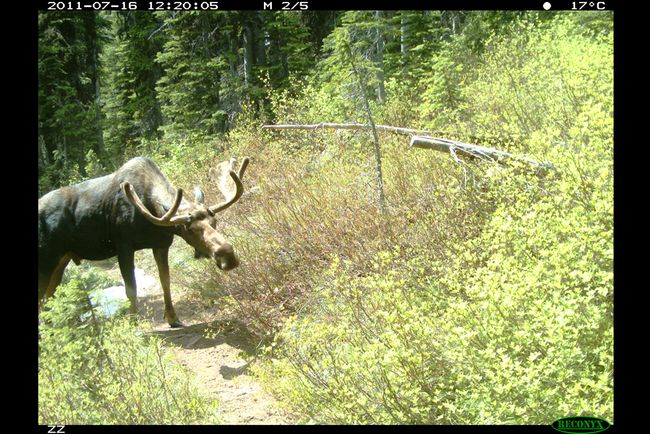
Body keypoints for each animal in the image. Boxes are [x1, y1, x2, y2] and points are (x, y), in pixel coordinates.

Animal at [38, 156, 249, 327]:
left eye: (215, 221)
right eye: (190, 229)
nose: (228, 255)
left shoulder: (161, 245)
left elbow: (166, 281)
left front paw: (173, 318)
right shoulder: (123, 246)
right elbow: (131, 289)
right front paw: (133, 324)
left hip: (60, 262)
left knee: (47, 300)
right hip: (46, 260)